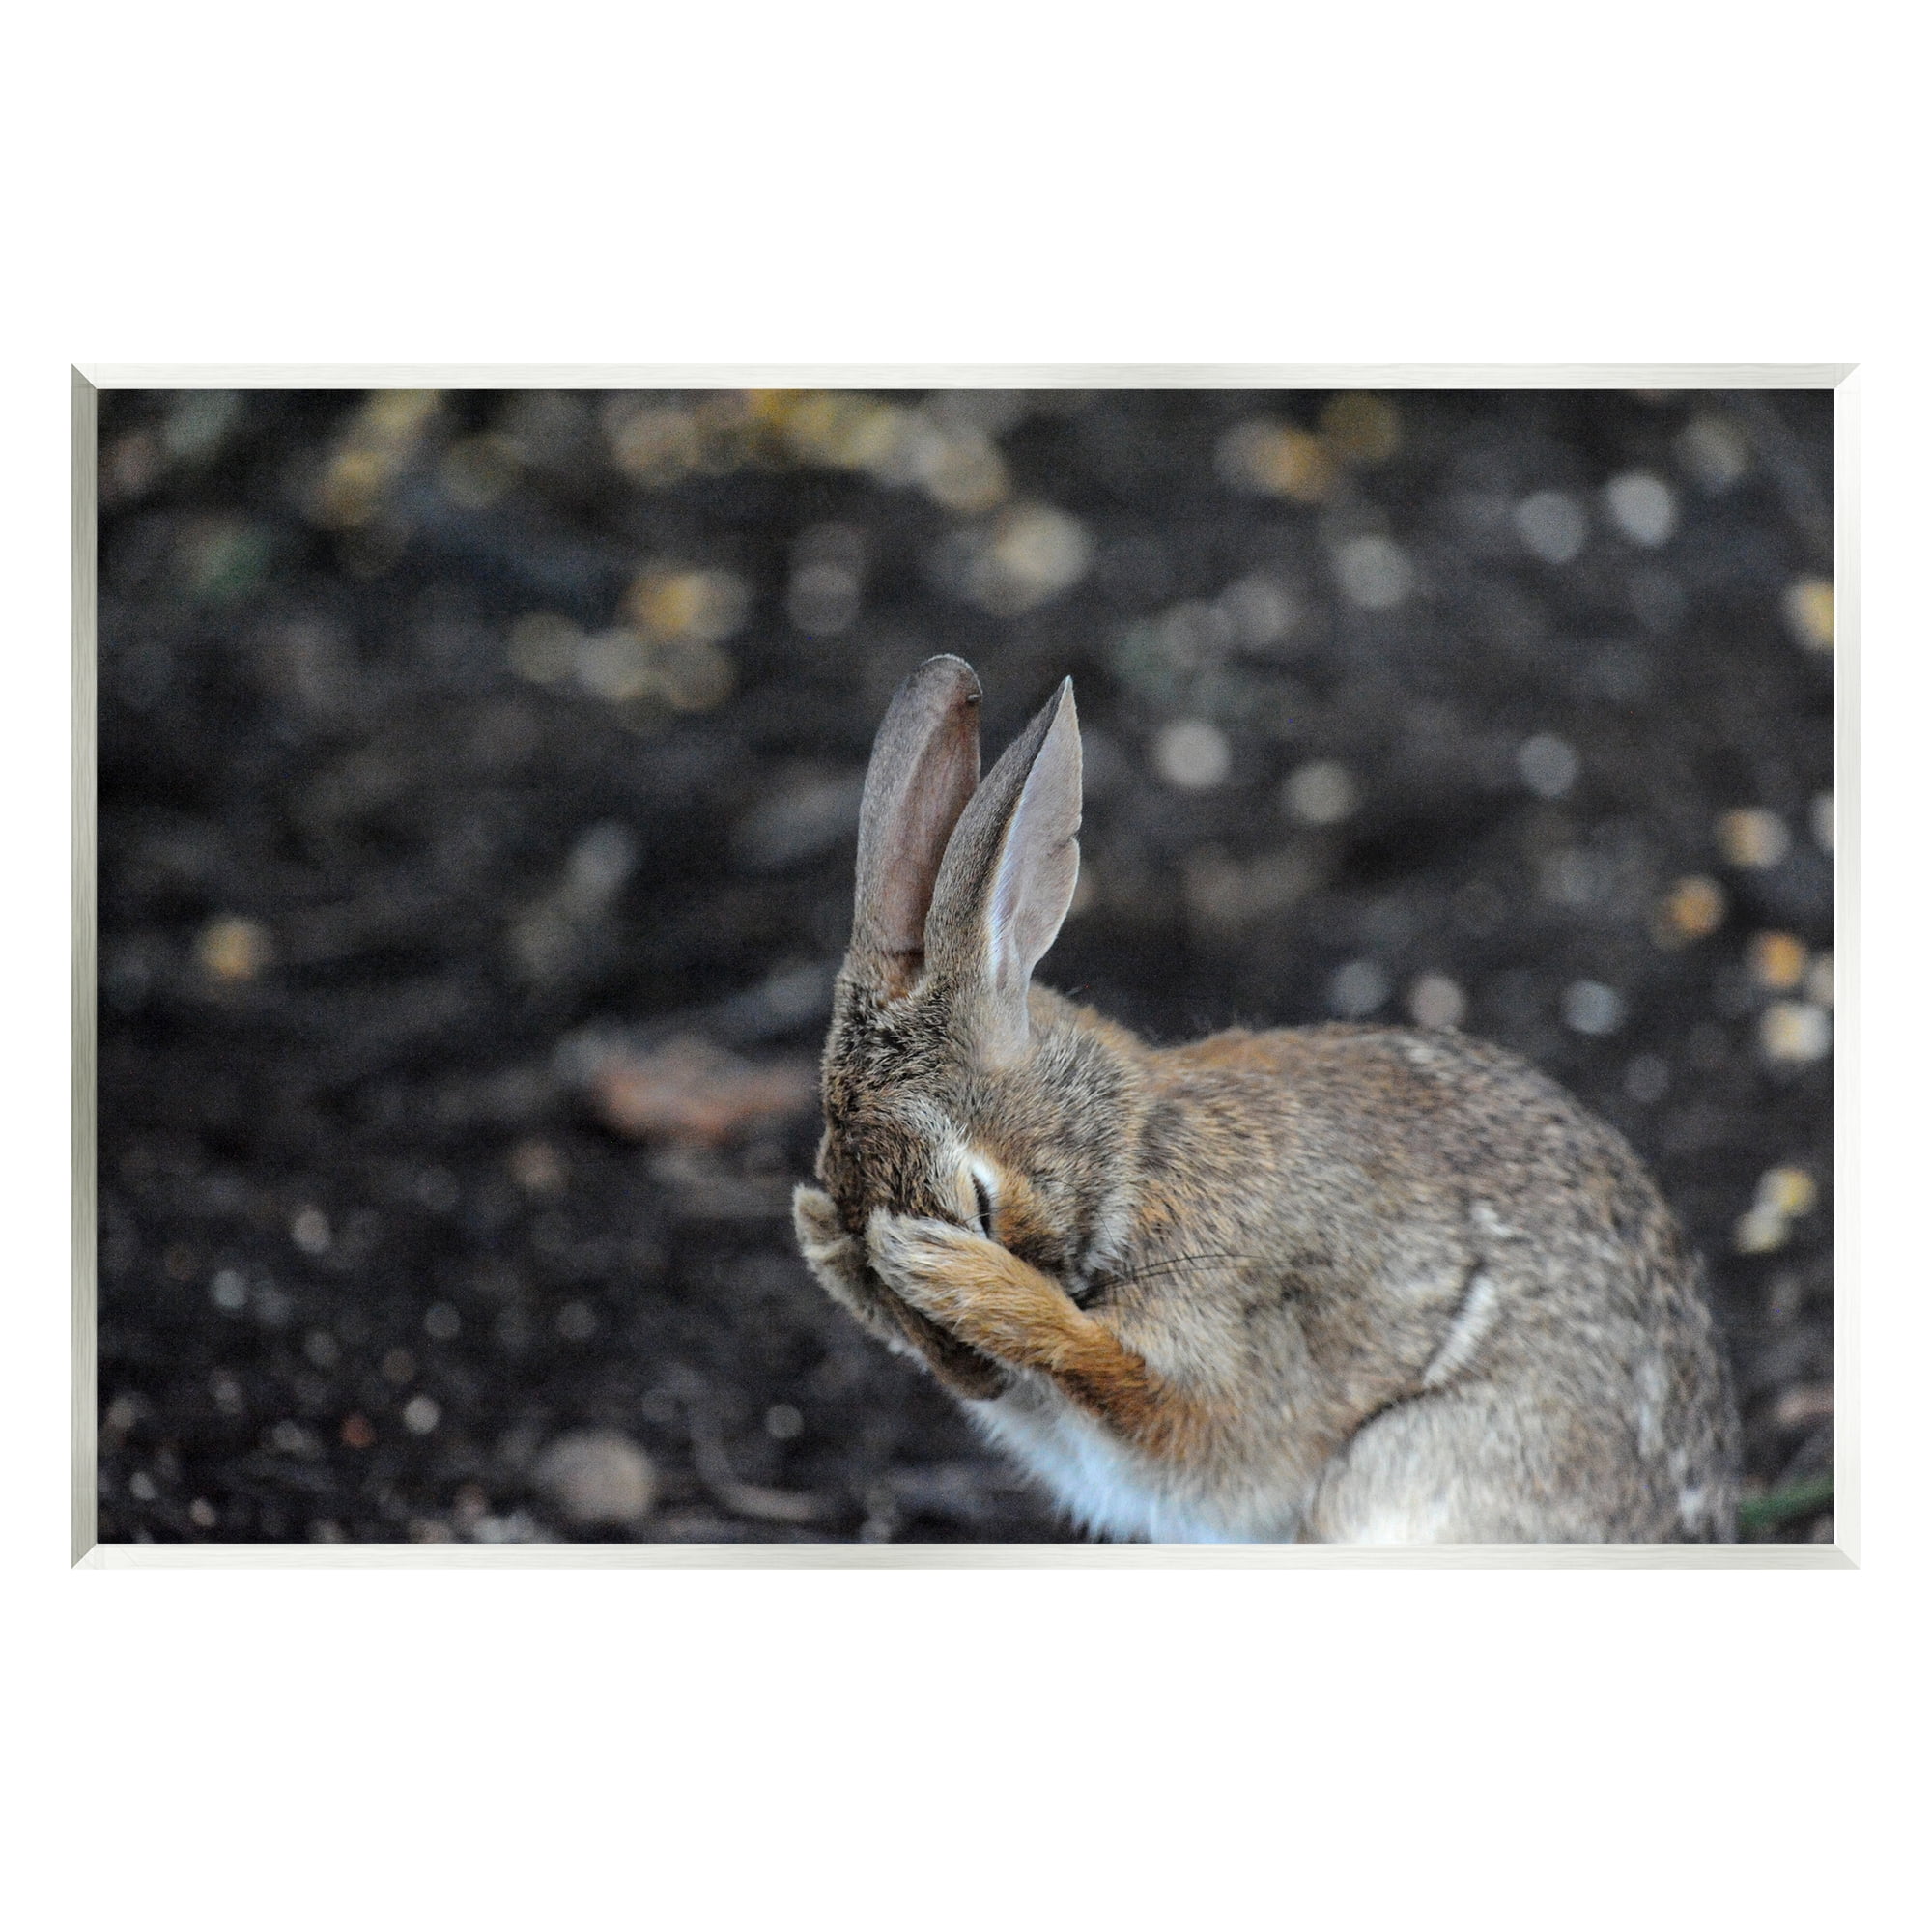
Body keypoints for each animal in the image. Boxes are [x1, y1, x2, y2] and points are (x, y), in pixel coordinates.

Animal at [792, 655, 1741, 1542]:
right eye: (854, 1243)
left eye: (979, 1201)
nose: (975, 1378)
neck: (1132, 1156)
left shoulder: (1229, 1346)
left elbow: (1144, 1391)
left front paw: (956, 1275)